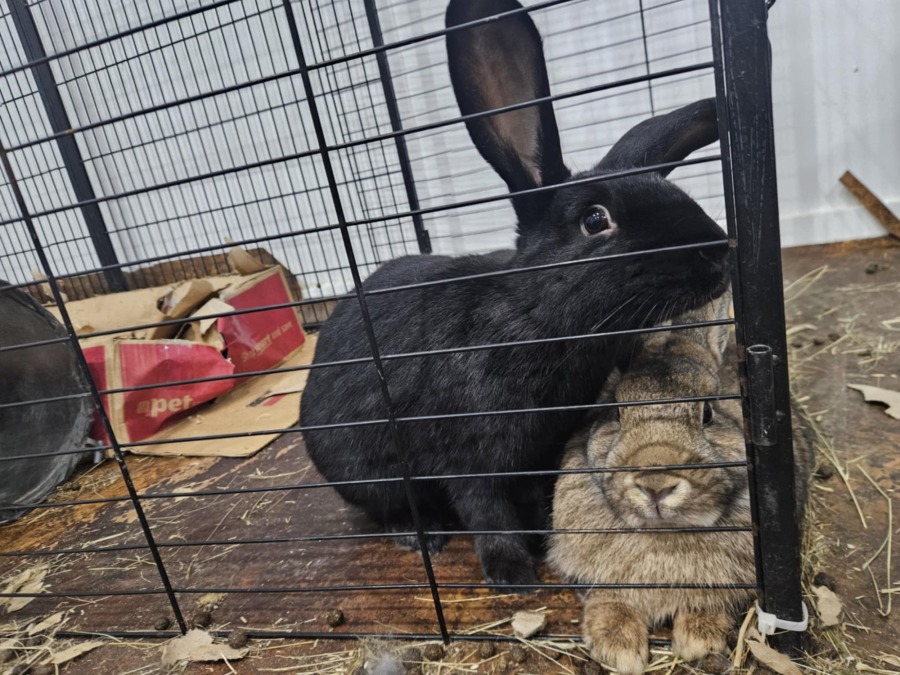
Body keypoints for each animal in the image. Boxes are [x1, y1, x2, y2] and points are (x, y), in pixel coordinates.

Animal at [300, 0, 730, 589]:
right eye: (595, 220)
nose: (720, 248)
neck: (531, 313)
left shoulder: (540, 450)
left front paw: (544, 532)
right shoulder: (467, 454)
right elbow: (485, 510)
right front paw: (512, 574)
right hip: (366, 473)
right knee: (390, 505)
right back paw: (419, 535)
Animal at [547, 293, 814, 674]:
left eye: (708, 413)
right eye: (616, 412)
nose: (656, 485)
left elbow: (708, 599)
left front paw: (700, 640)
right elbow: (607, 597)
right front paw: (619, 647)